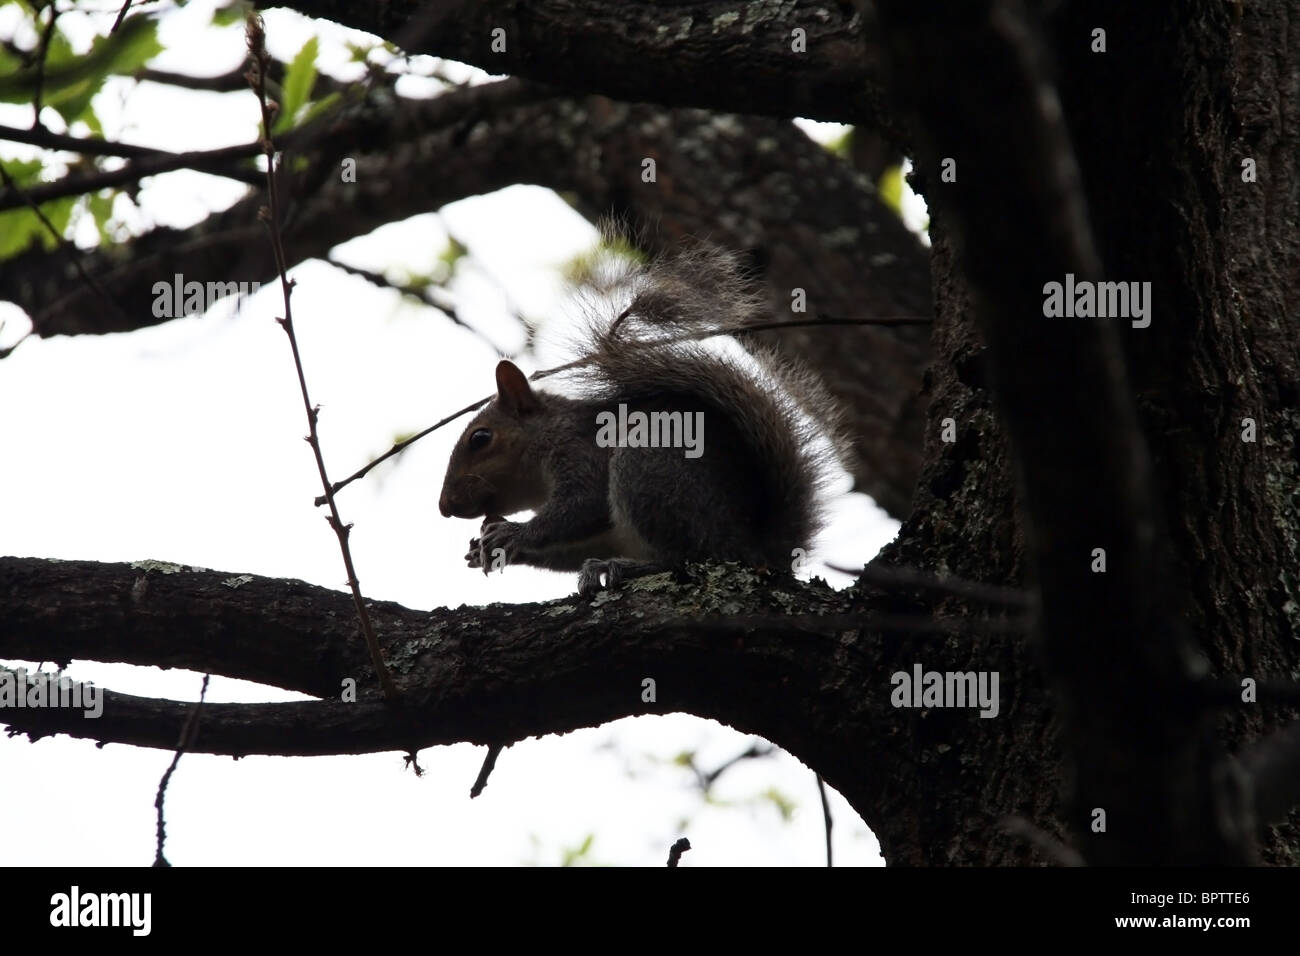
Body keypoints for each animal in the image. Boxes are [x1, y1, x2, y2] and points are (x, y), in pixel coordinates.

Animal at [437, 243, 842, 597]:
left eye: (480, 438)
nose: (445, 507)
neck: (548, 436)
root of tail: (757, 550)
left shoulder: (581, 451)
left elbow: (583, 505)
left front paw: (512, 535)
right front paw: (487, 549)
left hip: (647, 467)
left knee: (690, 557)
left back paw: (623, 567)